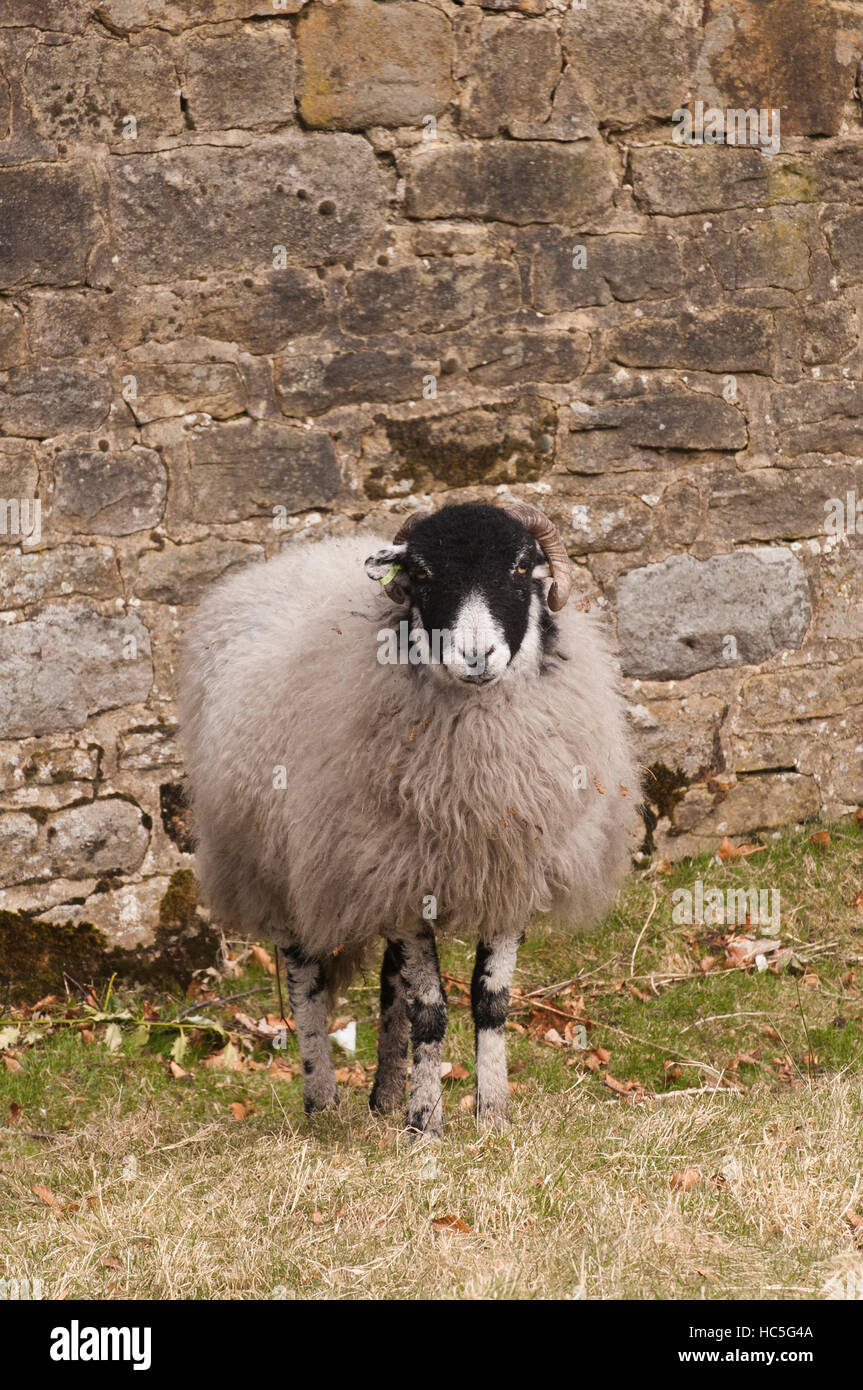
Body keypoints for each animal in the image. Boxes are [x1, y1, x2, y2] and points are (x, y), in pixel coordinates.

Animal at [180, 501, 639, 1136]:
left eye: (522, 568)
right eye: (421, 574)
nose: (476, 656)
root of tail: (293, 557)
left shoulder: (509, 871)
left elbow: (489, 1001)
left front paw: (492, 1115)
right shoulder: (390, 873)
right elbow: (431, 1010)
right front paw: (426, 1124)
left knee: (387, 985)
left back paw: (384, 1096)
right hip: (279, 865)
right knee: (305, 982)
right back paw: (322, 1101)